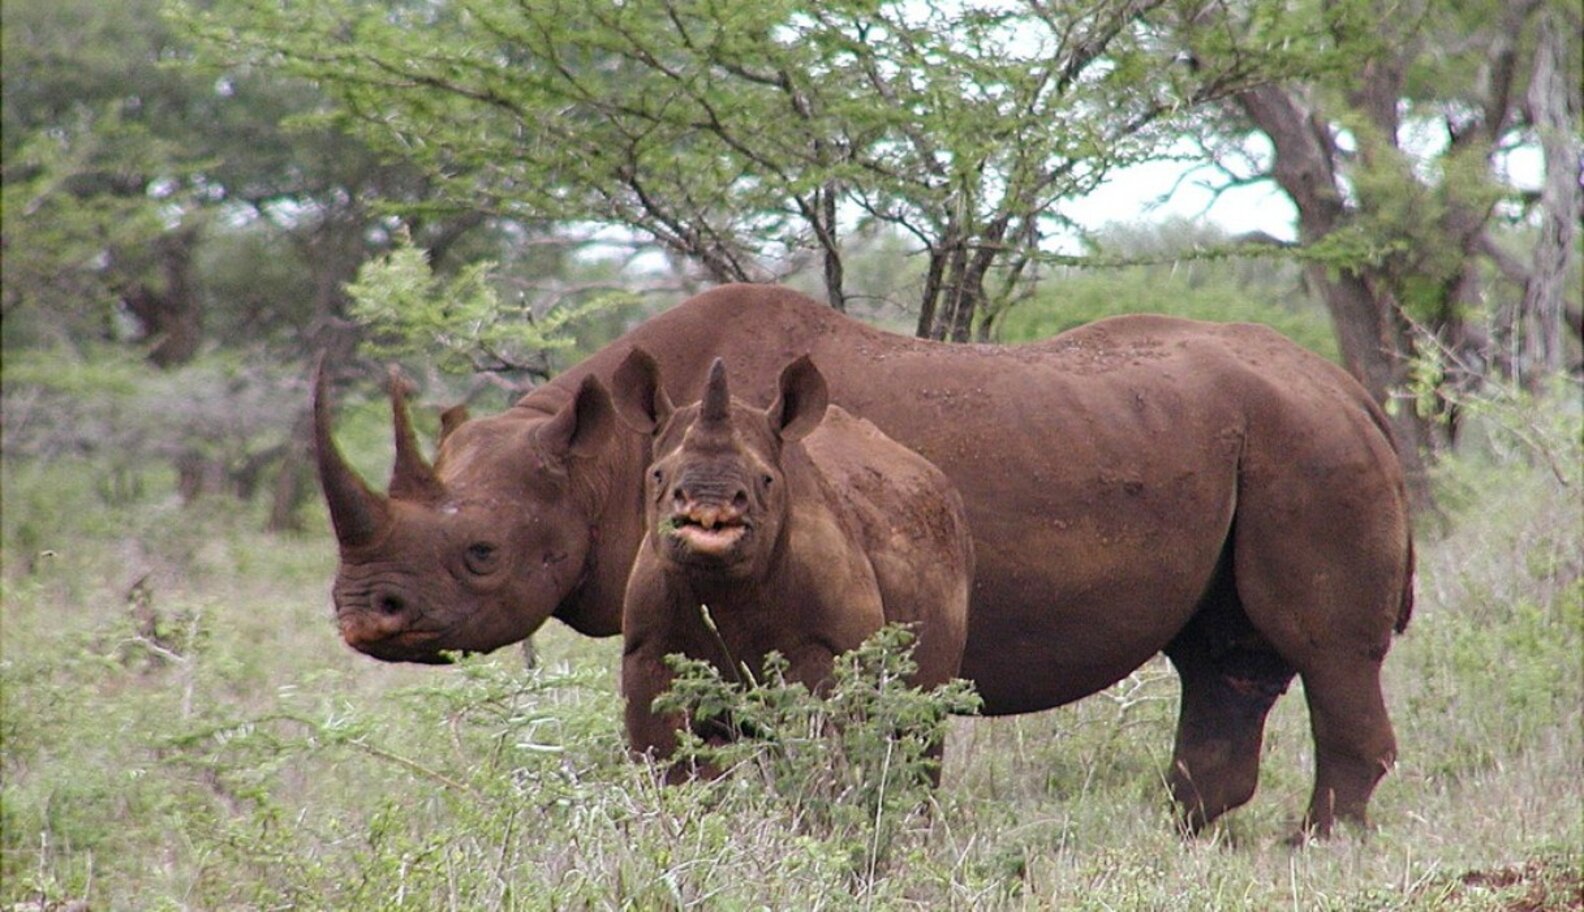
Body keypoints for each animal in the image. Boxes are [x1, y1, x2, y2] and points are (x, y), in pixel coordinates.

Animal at [607, 351, 972, 768]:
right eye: (657, 475)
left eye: (765, 480)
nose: (708, 503)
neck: (726, 588)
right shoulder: (648, 650)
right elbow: (669, 757)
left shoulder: (827, 647)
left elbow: (819, 744)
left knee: (921, 725)